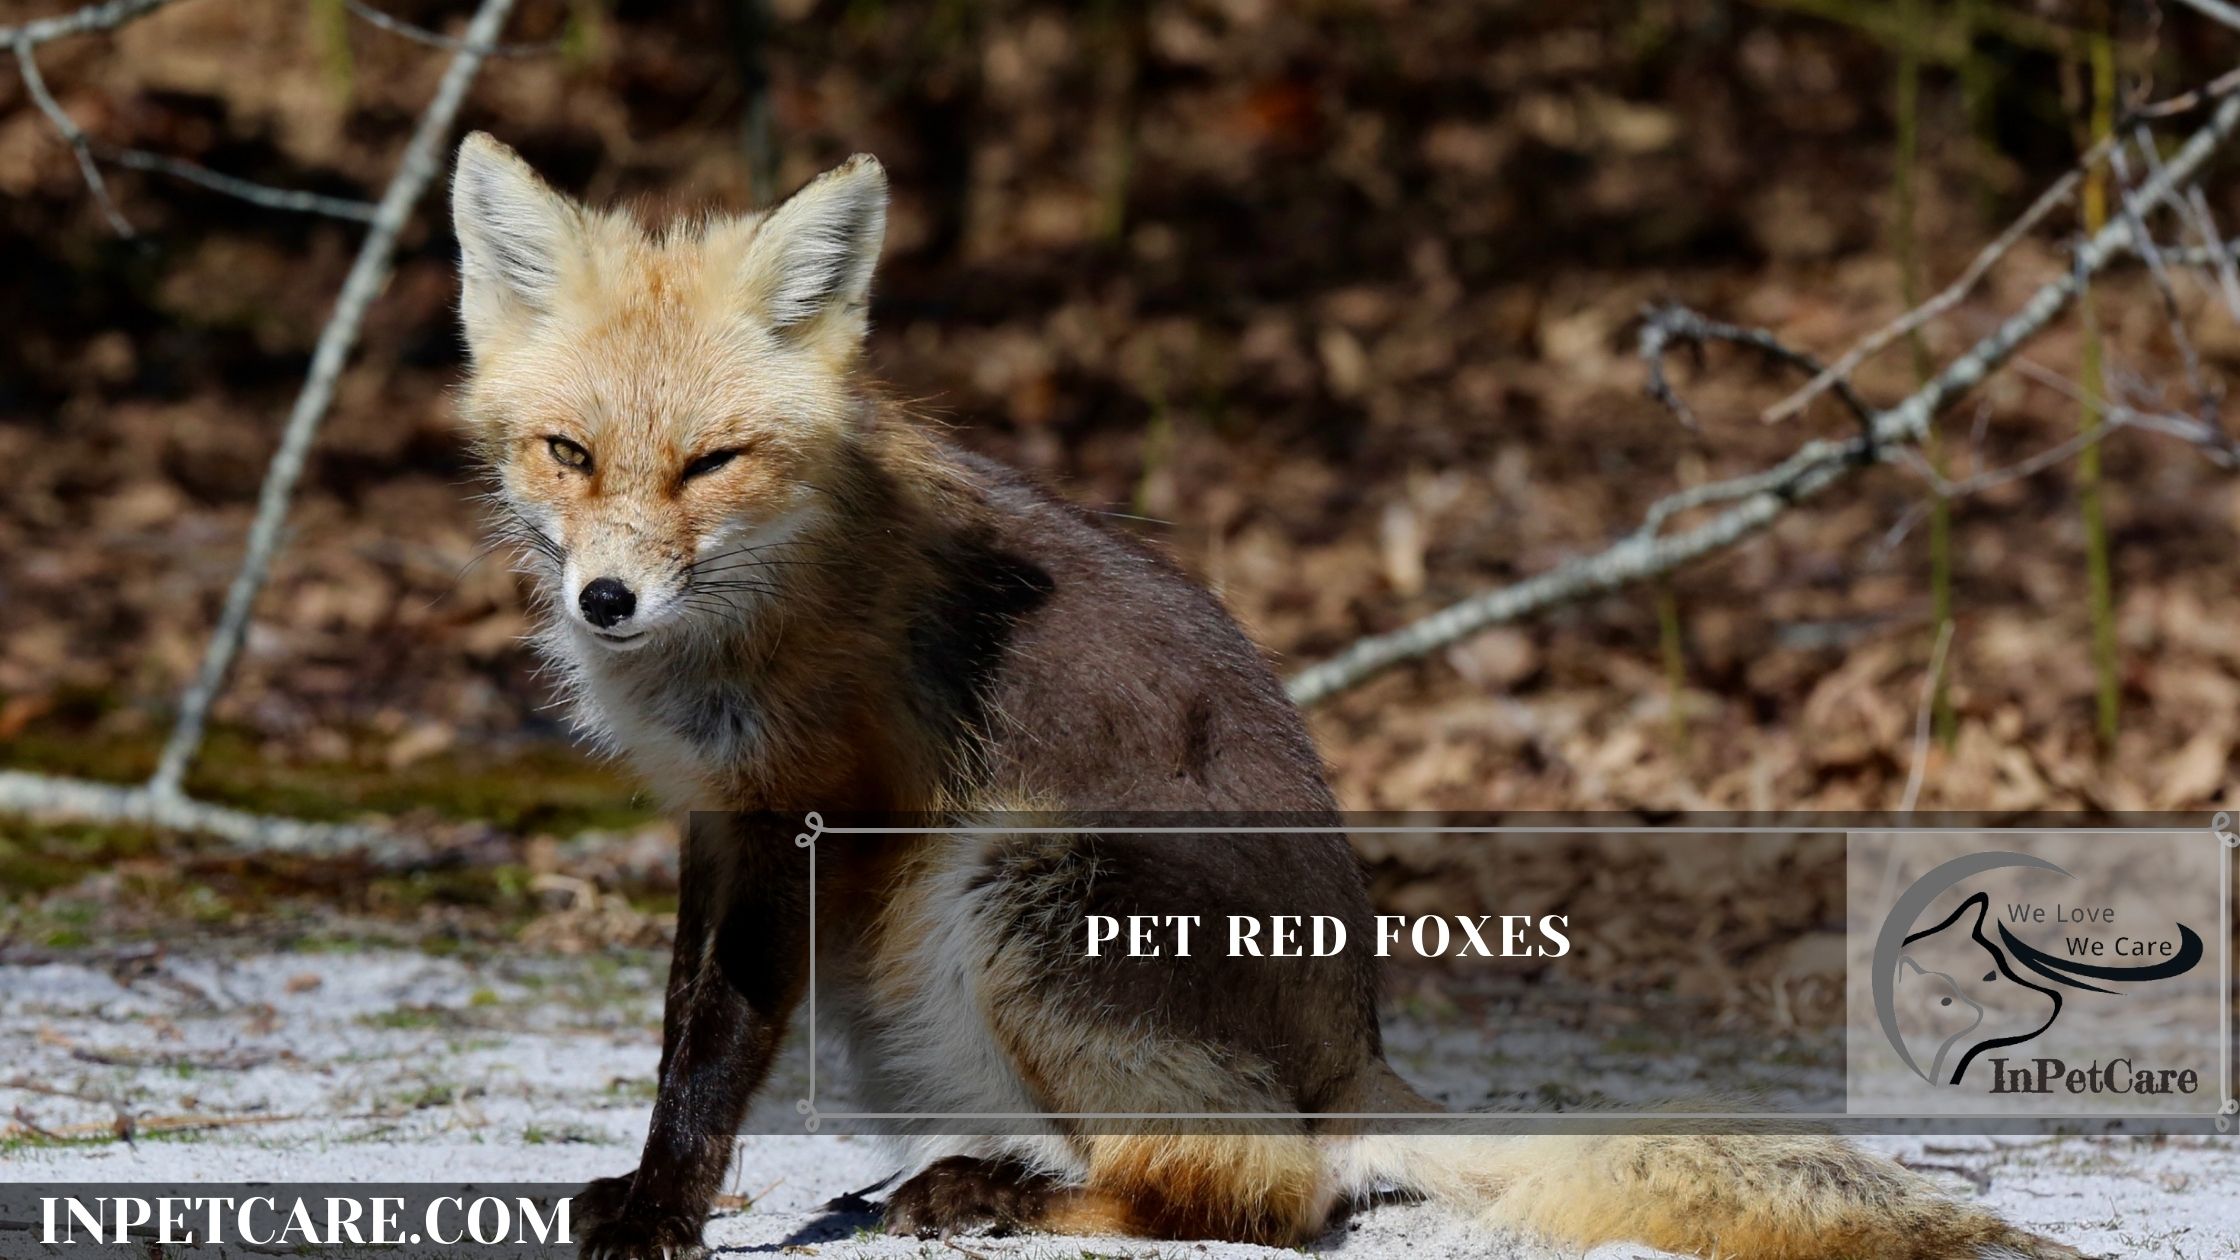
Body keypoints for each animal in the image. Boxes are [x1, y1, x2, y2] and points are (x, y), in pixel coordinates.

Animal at [449, 132, 2081, 1260]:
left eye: (711, 463)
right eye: (568, 453)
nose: (607, 602)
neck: (755, 602)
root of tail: (1350, 1051)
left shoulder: (806, 808)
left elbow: (715, 1048)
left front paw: (664, 1216)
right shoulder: (717, 814)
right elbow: (680, 1032)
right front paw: (652, 1191)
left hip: (1016, 879)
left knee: (1255, 1192)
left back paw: (998, 1196)